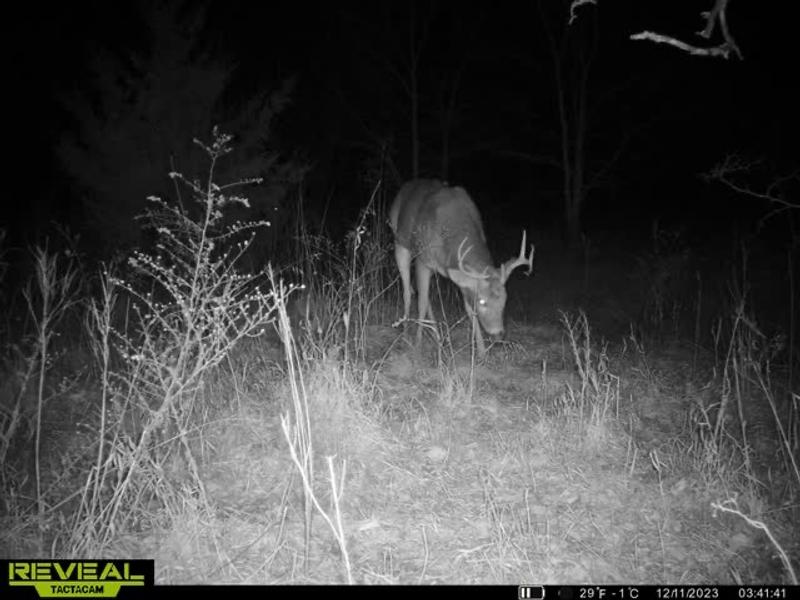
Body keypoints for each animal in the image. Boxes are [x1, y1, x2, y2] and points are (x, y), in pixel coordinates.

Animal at [389, 179, 535, 356]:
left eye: (505, 300)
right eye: (482, 301)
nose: (498, 335)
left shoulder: (461, 275)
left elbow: (469, 310)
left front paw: (482, 353)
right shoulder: (424, 260)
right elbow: (421, 303)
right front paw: (417, 346)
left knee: (421, 293)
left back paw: (436, 334)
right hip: (401, 243)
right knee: (408, 292)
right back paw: (405, 335)